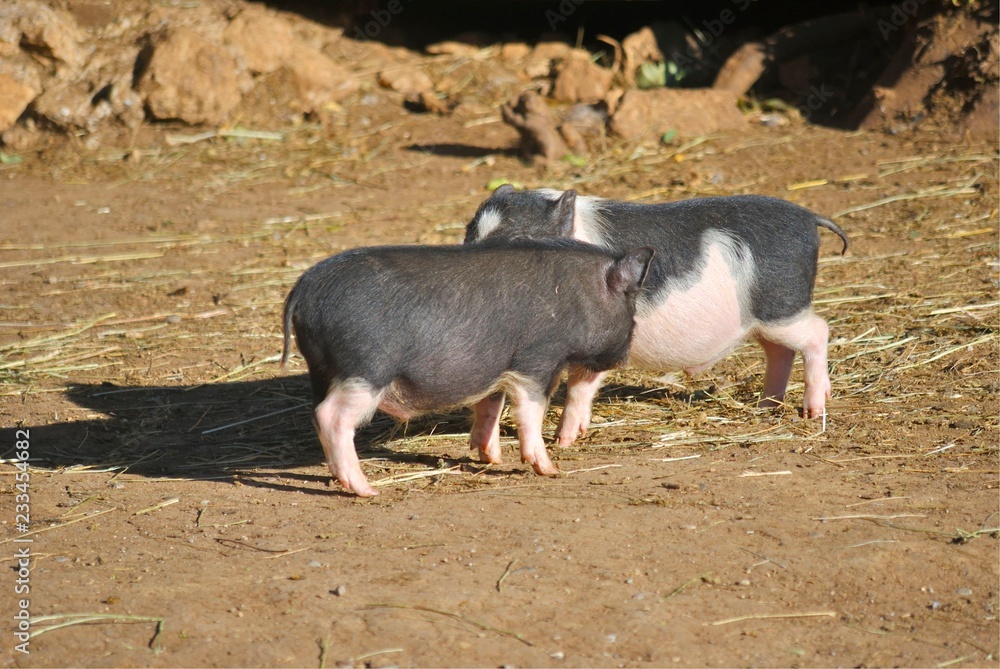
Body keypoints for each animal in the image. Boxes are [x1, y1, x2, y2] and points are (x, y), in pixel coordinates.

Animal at [281, 238, 654, 497]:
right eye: (631, 308)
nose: (622, 356)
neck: (578, 294)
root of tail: (304, 290)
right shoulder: (537, 358)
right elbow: (531, 410)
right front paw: (549, 469)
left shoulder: (495, 366)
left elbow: (490, 405)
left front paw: (491, 459)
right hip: (366, 369)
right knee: (331, 417)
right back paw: (367, 490)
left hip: (321, 370)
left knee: (318, 411)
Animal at [465, 186, 849, 447]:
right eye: (470, 234)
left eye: (520, 239)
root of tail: (808, 217)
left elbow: (580, 385)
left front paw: (562, 440)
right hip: (765, 322)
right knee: (779, 351)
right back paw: (768, 404)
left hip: (783, 306)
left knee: (818, 332)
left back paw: (813, 411)